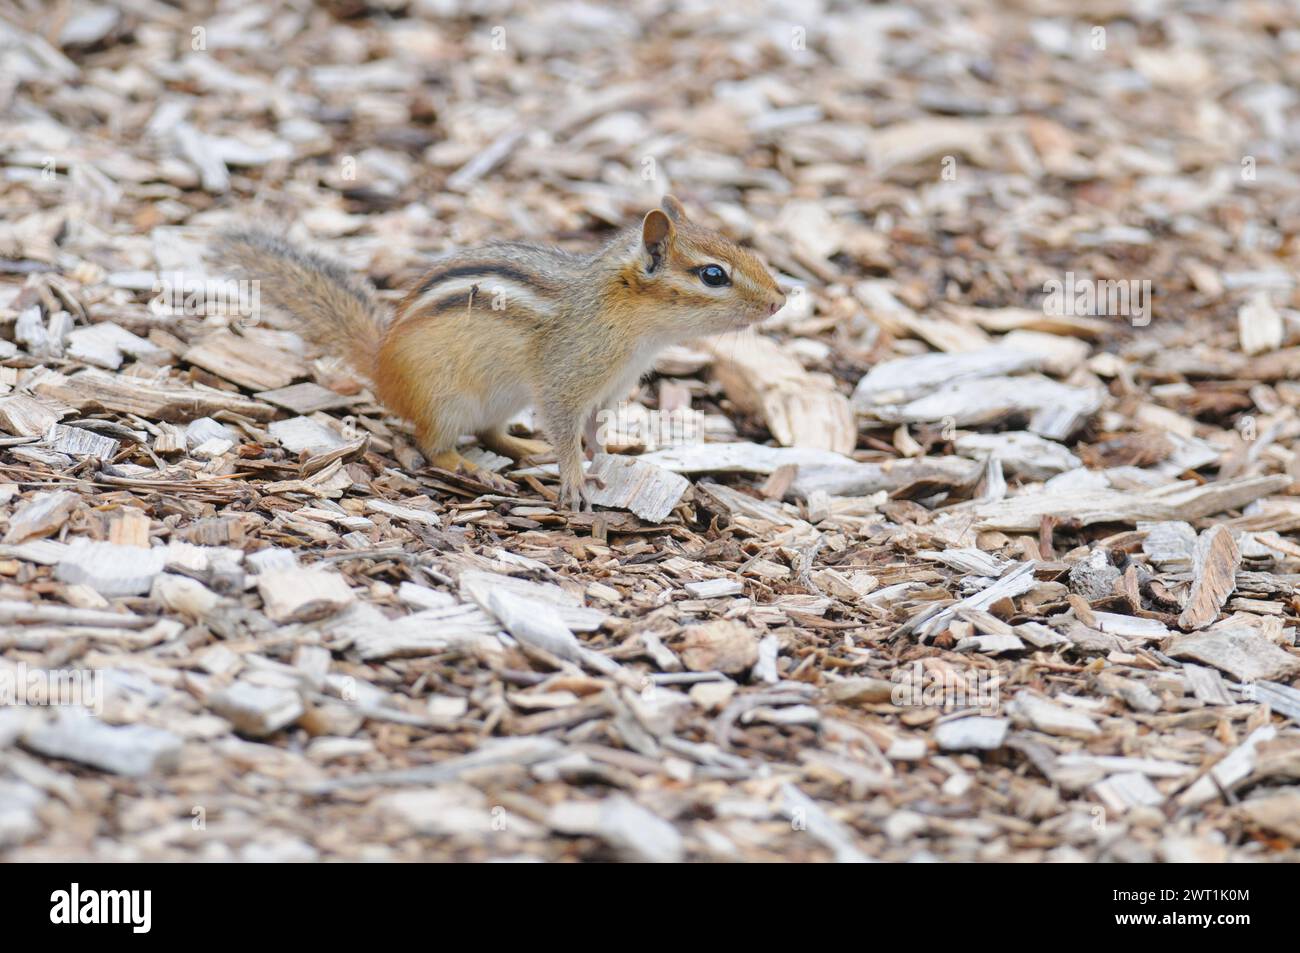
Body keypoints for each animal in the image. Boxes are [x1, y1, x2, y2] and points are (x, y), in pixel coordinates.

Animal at [214, 195, 786, 510]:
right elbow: (565, 427)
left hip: (505, 399)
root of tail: (380, 363)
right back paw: (476, 468)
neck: (628, 322)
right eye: (713, 275)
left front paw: (605, 456)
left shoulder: (605, 392)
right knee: (435, 447)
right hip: (446, 400)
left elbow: (591, 429)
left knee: (492, 433)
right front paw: (574, 479)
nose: (781, 300)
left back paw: (524, 448)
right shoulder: (563, 382)